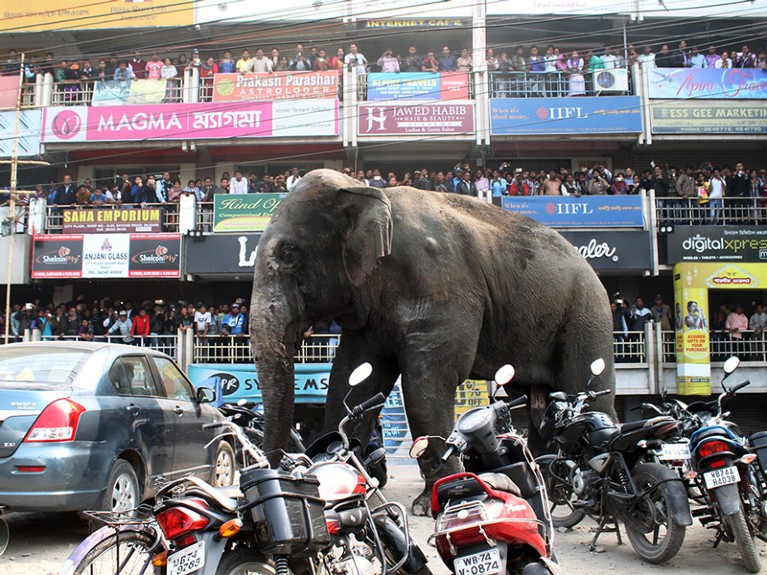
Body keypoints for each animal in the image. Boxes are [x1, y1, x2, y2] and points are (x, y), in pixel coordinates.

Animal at [250, 169, 616, 514]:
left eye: (288, 253)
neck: (370, 192)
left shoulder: (440, 284)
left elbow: (426, 383)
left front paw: (432, 502)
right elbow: (353, 378)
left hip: (587, 315)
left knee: (587, 393)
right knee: (539, 409)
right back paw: (550, 491)